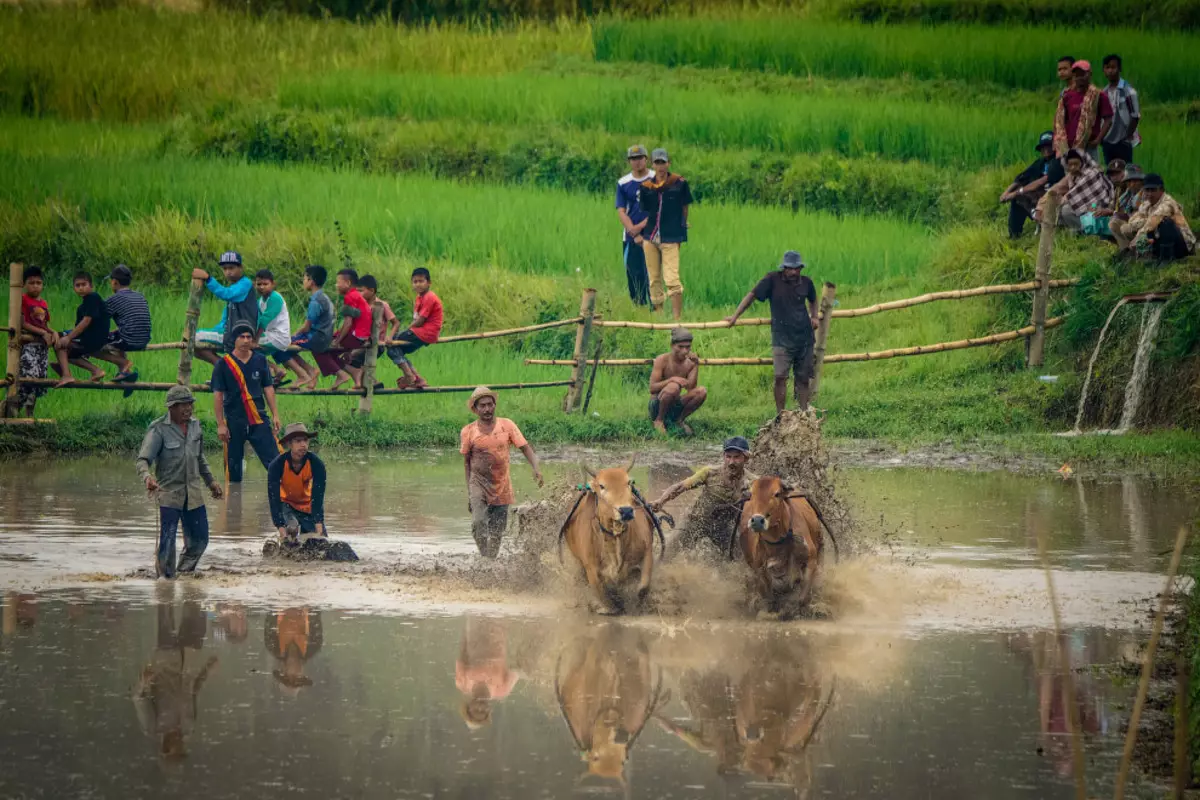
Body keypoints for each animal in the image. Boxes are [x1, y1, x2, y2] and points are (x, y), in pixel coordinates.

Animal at [559, 460, 662, 618]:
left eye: (628, 482)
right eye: (602, 486)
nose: (626, 511)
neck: (615, 537)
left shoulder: (647, 552)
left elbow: (643, 587)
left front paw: (635, 604)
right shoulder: (590, 567)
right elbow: (602, 593)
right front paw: (609, 607)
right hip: (578, 561)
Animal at [734, 479, 830, 618]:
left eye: (777, 494)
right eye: (751, 494)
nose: (757, 520)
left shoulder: (811, 560)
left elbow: (803, 596)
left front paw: (802, 610)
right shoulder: (760, 569)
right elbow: (770, 598)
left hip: (820, 547)